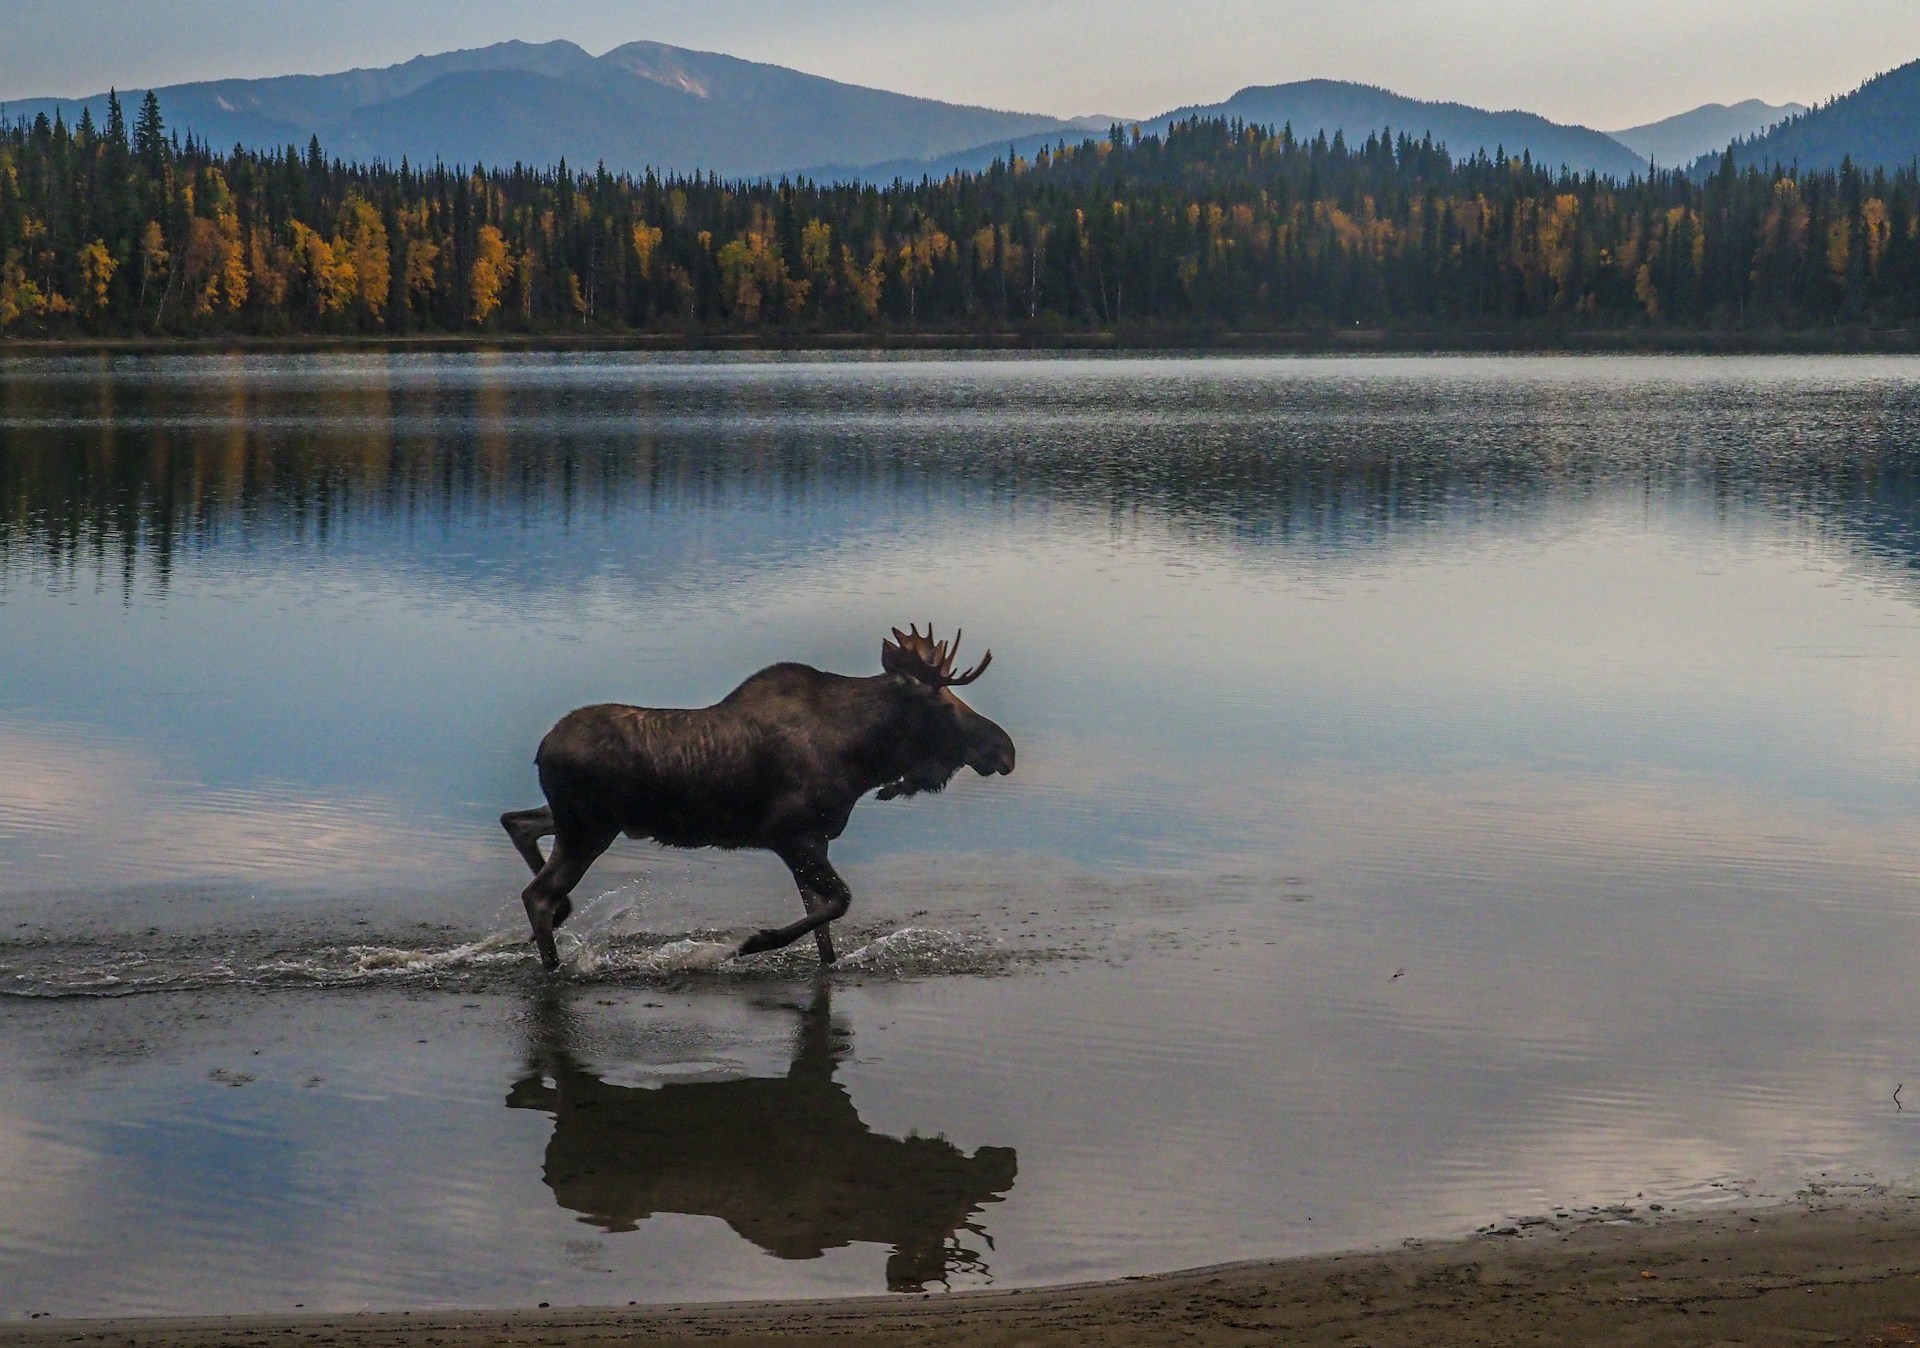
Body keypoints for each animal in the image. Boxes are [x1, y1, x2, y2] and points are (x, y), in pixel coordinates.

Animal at [501, 626, 1016, 970]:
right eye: (942, 703)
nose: (1005, 749)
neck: (863, 759)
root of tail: (541, 749)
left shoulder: (815, 840)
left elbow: (823, 926)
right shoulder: (789, 833)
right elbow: (840, 901)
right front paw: (754, 943)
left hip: (582, 821)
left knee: (517, 822)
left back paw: (563, 917)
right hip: (588, 828)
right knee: (536, 895)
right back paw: (554, 963)